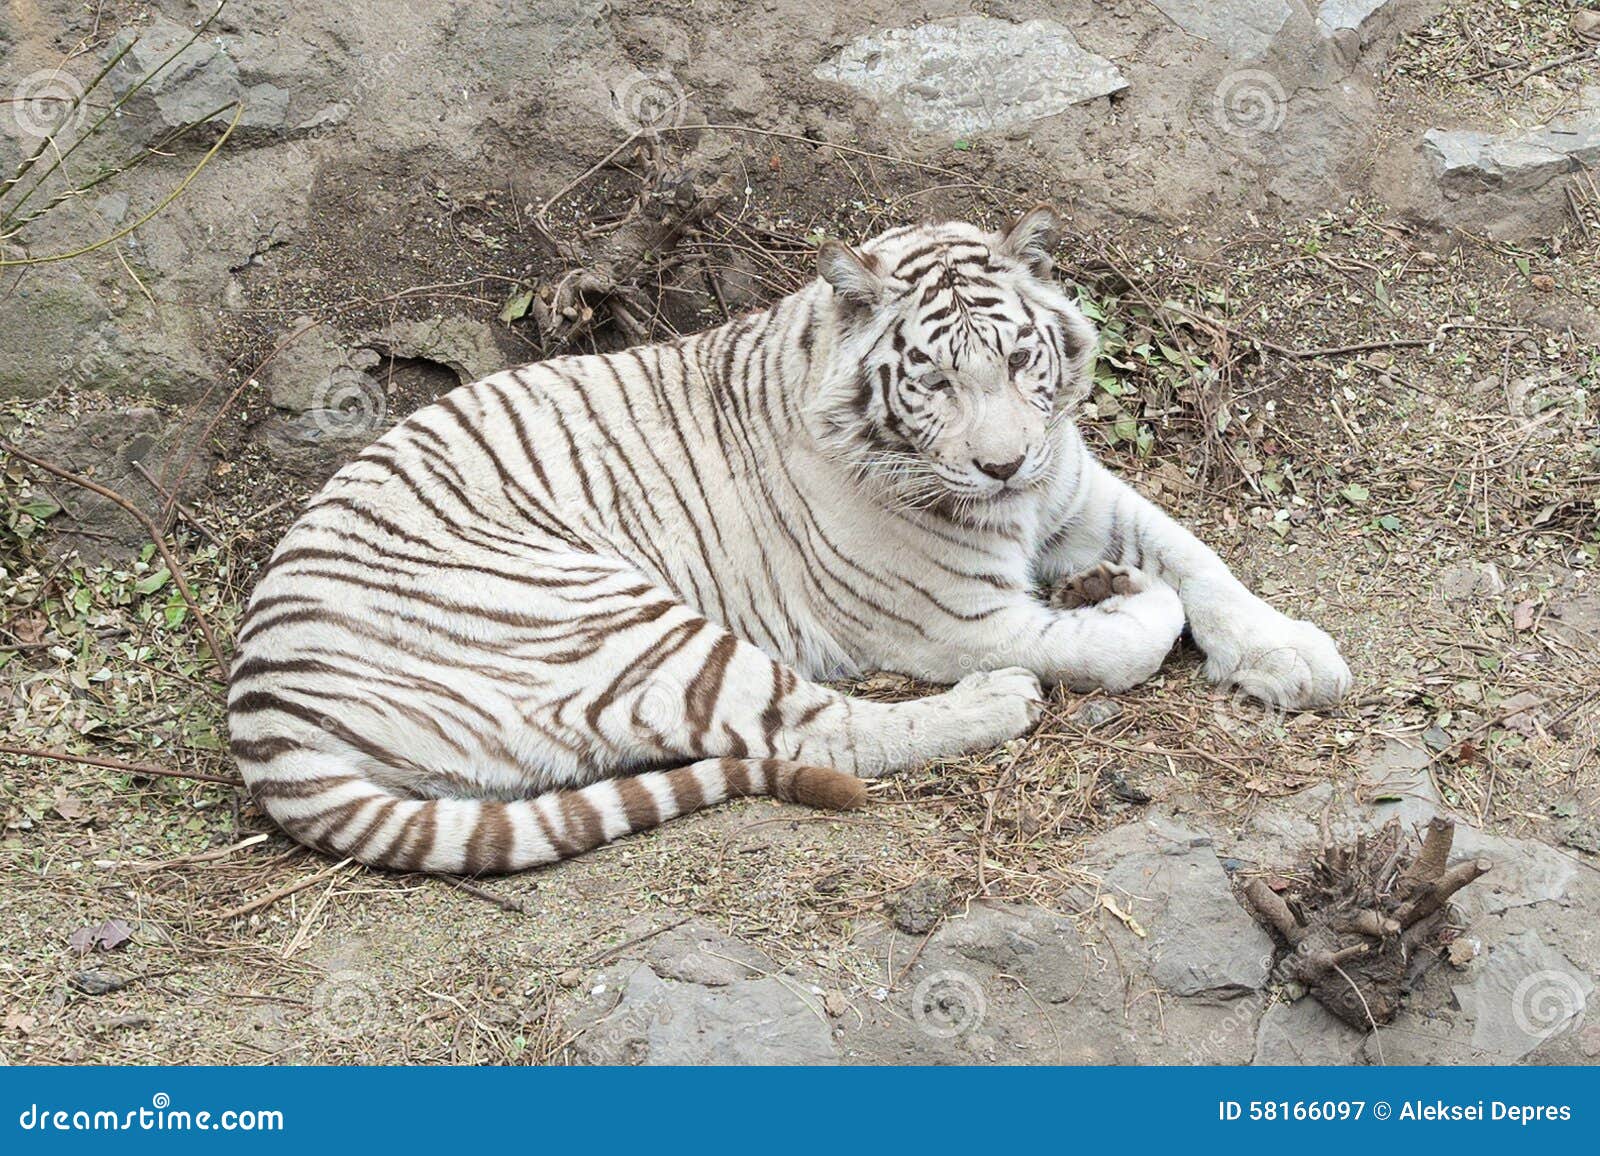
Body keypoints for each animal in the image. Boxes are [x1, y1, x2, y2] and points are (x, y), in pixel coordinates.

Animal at [227, 207, 1351, 875]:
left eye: (1021, 360)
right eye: (934, 379)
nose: (1001, 465)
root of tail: (258, 701)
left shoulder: (1077, 488)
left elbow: (1197, 556)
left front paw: (1288, 654)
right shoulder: (956, 614)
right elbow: (1123, 635)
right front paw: (1110, 599)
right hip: (610, 616)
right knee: (817, 728)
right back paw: (995, 703)